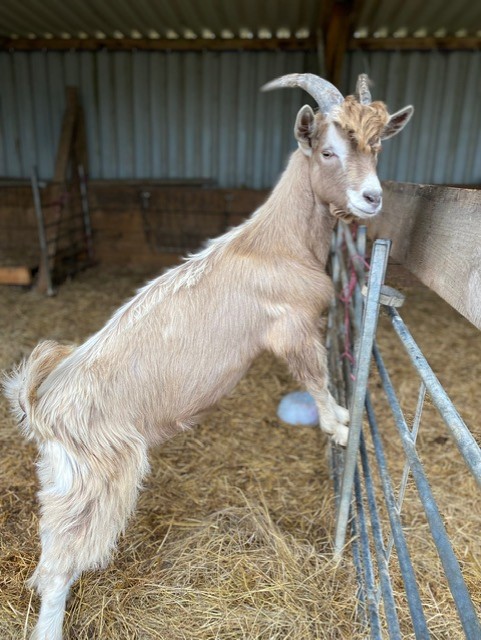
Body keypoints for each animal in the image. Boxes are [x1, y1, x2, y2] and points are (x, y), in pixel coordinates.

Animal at [4, 73, 413, 640]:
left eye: (377, 148)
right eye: (328, 151)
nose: (372, 198)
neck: (276, 243)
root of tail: (43, 407)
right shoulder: (290, 328)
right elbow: (313, 374)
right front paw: (341, 425)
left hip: (63, 478)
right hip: (100, 476)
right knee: (60, 564)